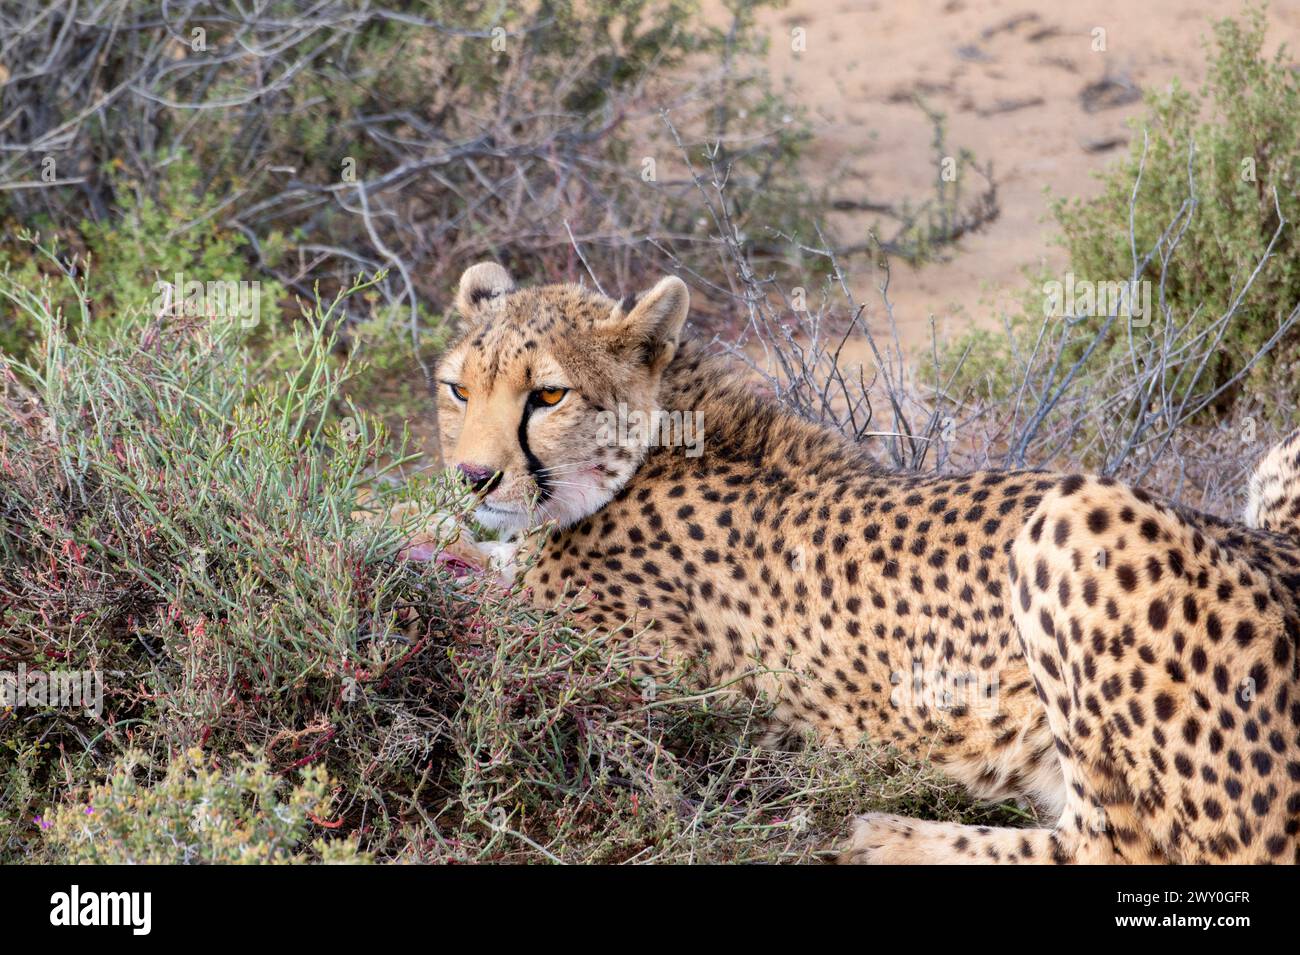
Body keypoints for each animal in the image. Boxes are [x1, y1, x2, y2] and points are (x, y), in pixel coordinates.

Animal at [428, 261, 1300, 864]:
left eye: (547, 395)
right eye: (458, 389)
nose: (472, 475)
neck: (657, 440)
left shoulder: (610, 669)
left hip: (1075, 518)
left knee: (1115, 847)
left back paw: (887, 835)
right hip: (1278, 457)